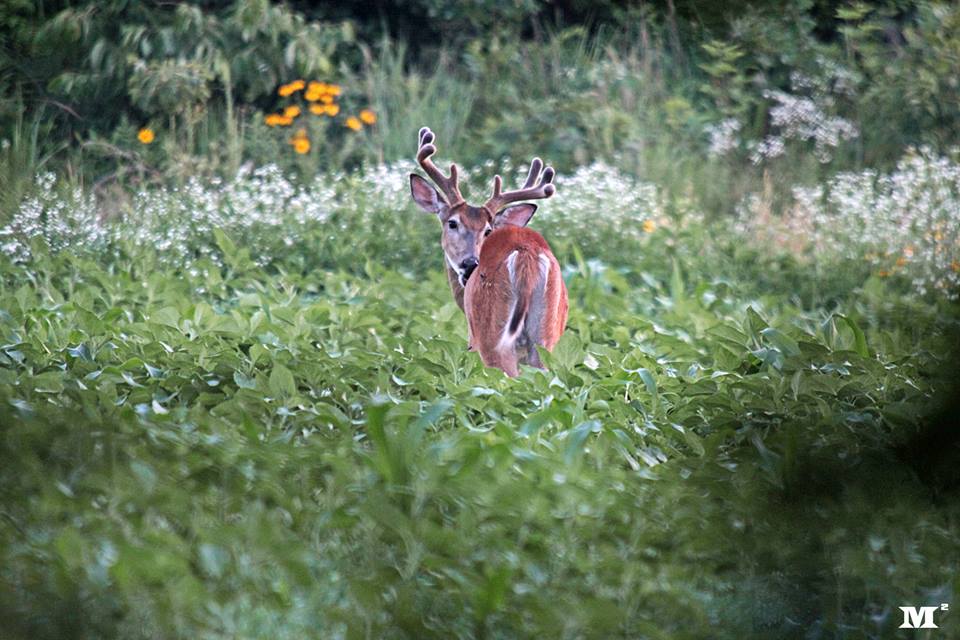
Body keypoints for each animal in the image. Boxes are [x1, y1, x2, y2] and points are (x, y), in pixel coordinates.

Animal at [409, 126, 568, 377]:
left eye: (488, 230)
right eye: (452, 223)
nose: (470, 263)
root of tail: (525, 255)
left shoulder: (473, 337)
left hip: (493, 334)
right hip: (547, 335)